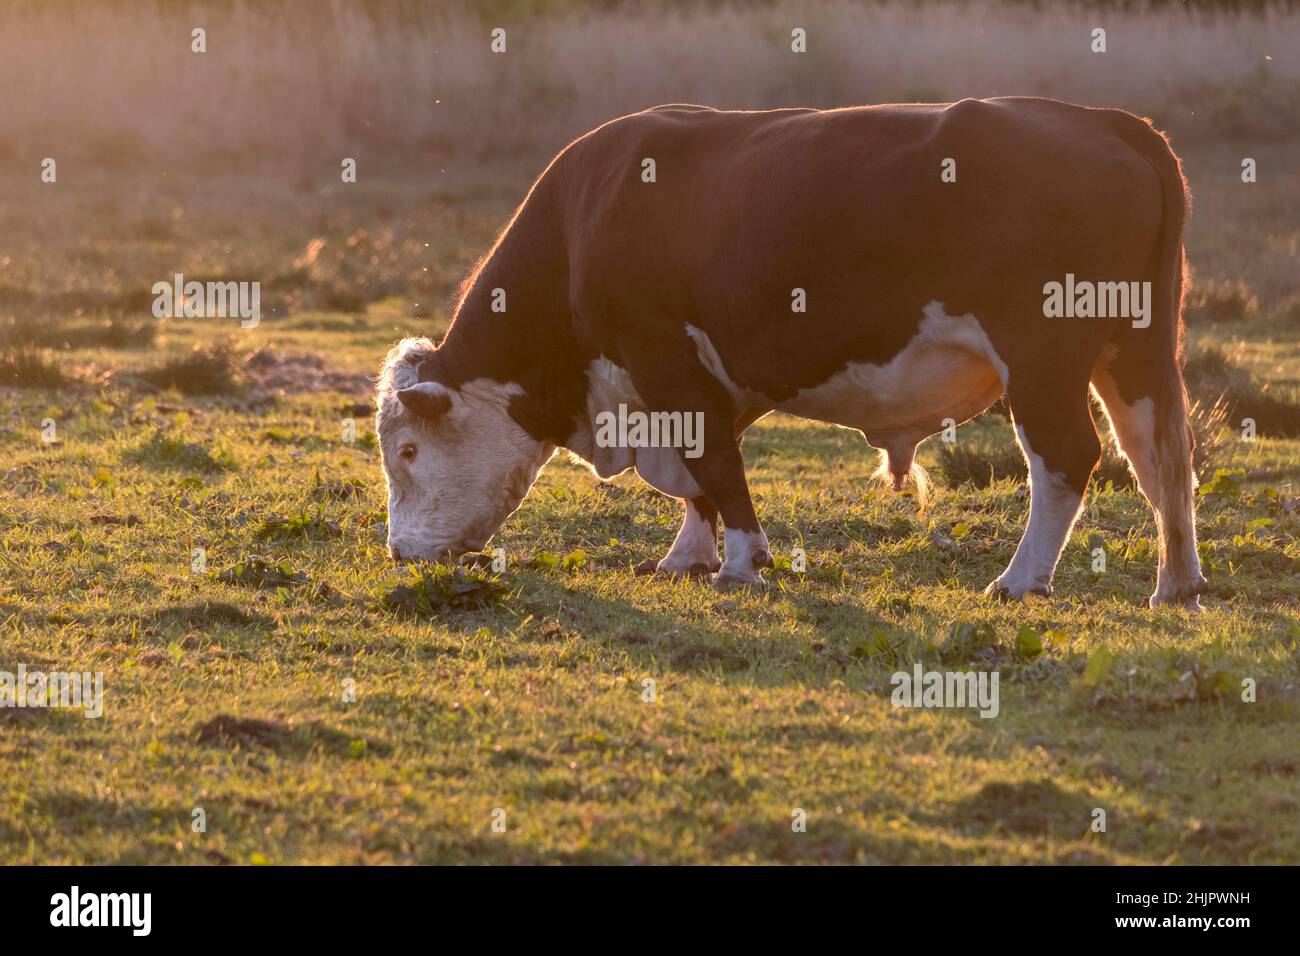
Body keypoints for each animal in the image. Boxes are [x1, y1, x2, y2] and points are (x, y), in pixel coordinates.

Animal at [376, 98, 1208, 610]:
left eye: (408, 451)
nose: (400, 553)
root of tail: (1105, 120)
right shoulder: (707, 383)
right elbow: (698, 479)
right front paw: (686, 557)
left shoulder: (665, 359)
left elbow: (714, 465)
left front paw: (742, 563)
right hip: (1136, 354)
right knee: (1161, 459)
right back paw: (1178, 583)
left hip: (1043, 357)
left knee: (1067, 457)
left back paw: (1021, 578)